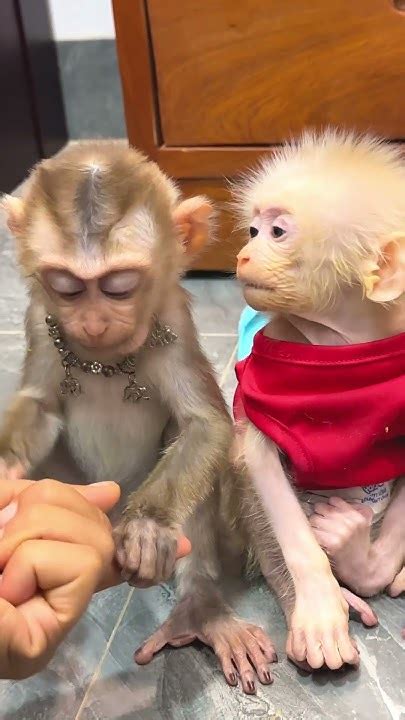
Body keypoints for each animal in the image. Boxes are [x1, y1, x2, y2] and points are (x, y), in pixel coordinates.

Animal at [0, 140, 279, 695]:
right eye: (65, 287)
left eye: (119, 287)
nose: (92, 322)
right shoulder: (39, 320)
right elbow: (40, 405)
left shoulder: (171, 318)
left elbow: (203, 425)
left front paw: (148, 529)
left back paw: (200, 608)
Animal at [232, 129, 405, 670]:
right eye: (252, 230)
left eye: (277, 233)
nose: (243, 255)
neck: (341, 341)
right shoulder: (265, 367)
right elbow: (257, 455)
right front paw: (317, 603)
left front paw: (370, 566)